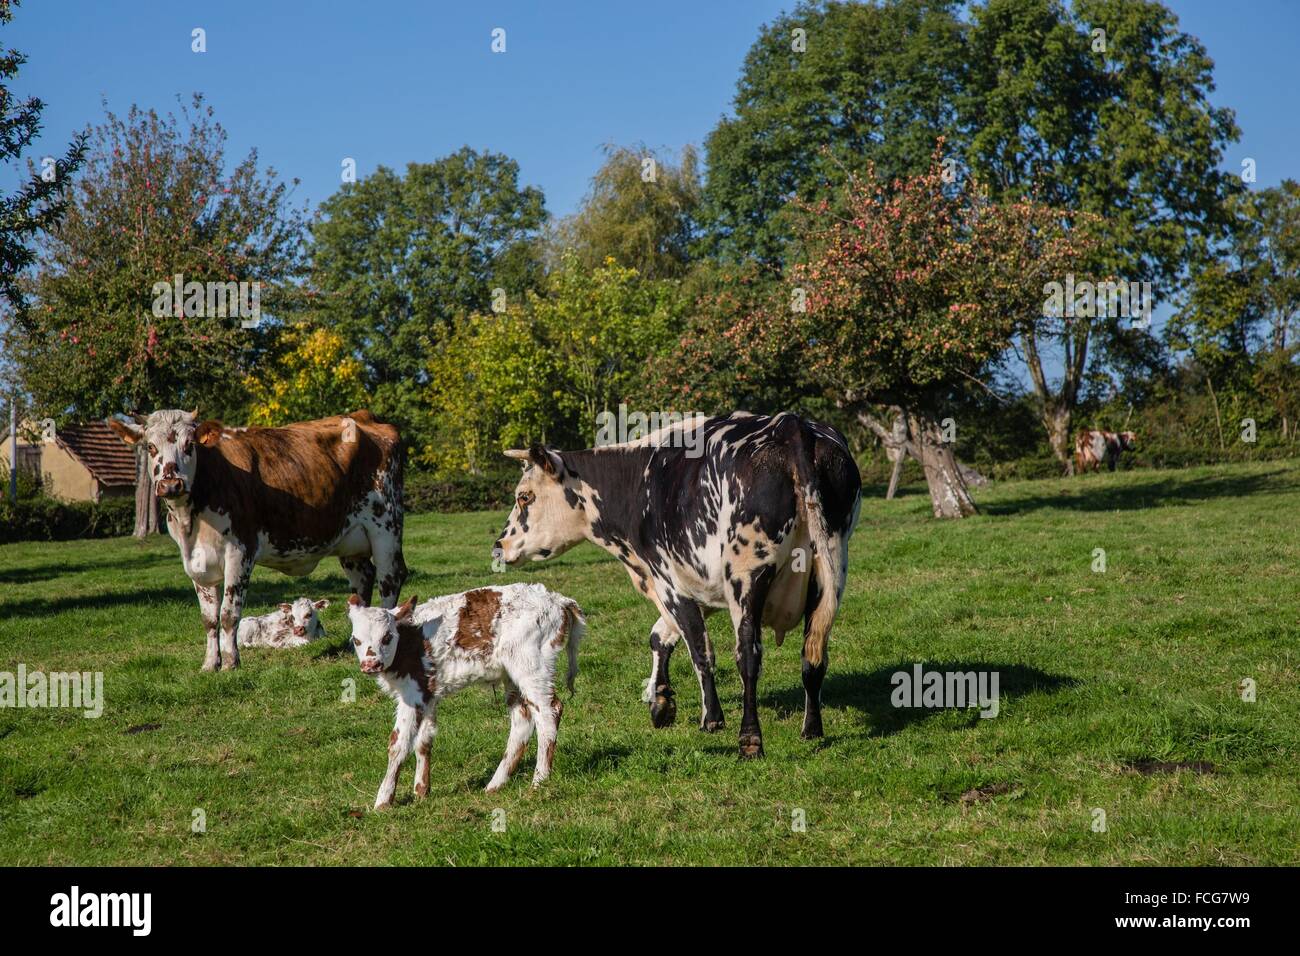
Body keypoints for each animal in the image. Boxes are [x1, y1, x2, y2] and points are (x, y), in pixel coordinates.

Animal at [107, 409, 407, 671]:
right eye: (150, 447)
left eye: (189, 445)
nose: (171, 484)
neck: (190, 520)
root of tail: (363, 416)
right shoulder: (195, 561)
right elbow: (209, 619)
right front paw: (209, 664)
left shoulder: (240, 552)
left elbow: (229, 614)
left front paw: (231, 663)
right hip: (351, 540)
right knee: (362, 580)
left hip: (385, 527)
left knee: (390, 579)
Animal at [493, 411, 861, 758]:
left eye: (525, 497)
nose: (499, 546)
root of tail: (791, 426)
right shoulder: (699, 585)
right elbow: (661, 636)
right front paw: (661, 701)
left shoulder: (669, 581)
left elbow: (699, 650)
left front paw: (710, 718)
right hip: (830, 568)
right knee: (813, 654)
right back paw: (812, 728)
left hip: (747, 572)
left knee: (748, 655)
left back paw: (750, 739)